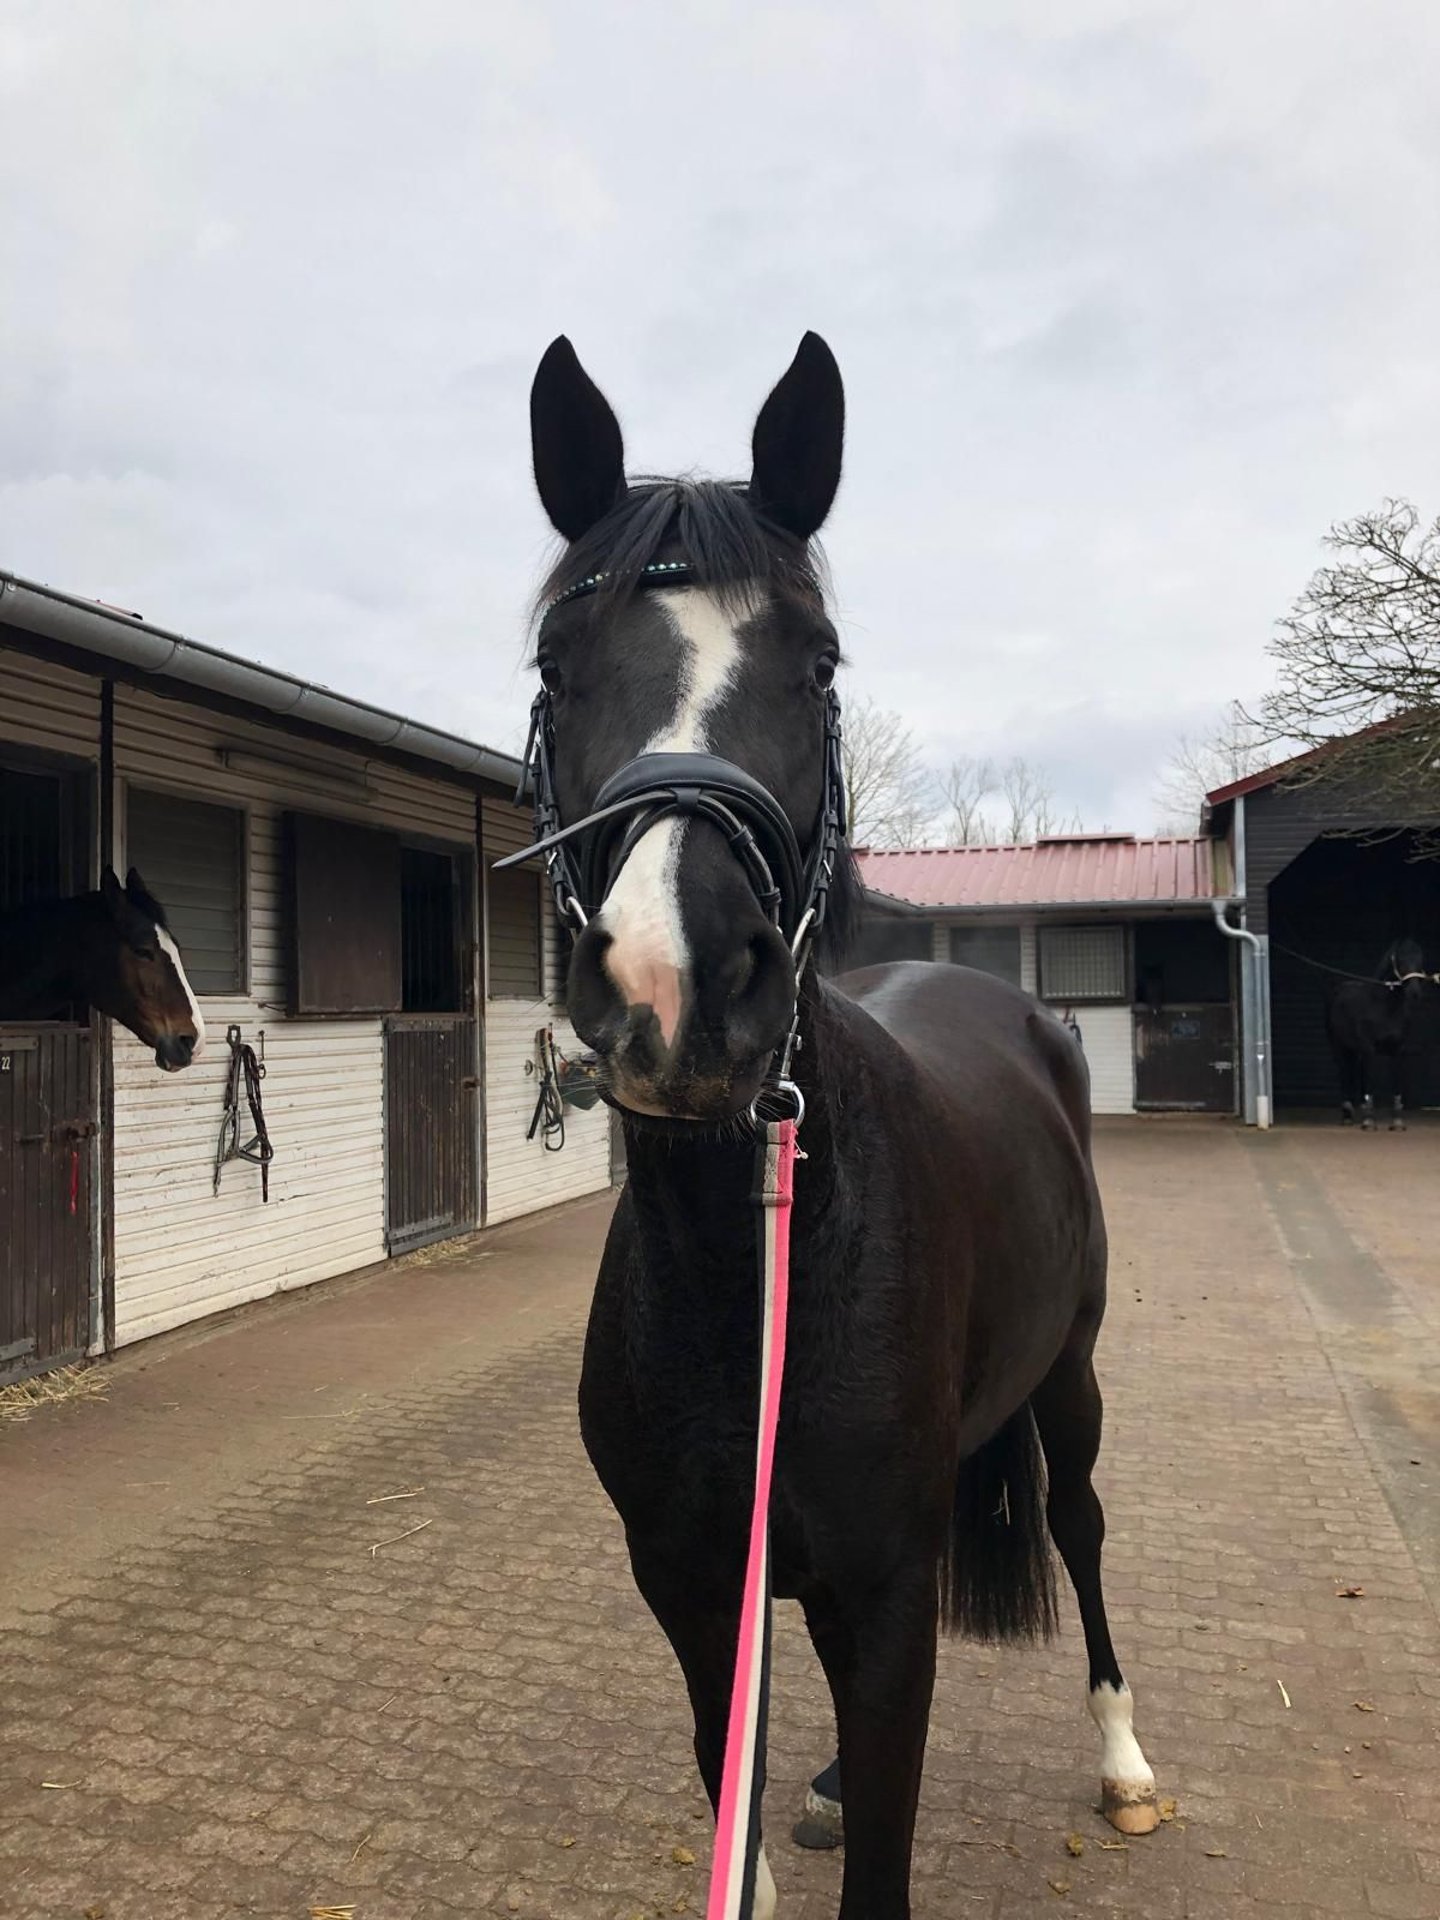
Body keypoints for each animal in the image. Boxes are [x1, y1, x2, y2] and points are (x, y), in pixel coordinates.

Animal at [519, 333, 1157, 1920]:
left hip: (1071, 1381)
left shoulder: (883, 1591)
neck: (757, 1267)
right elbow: (734, 1799)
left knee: (1083, 1528)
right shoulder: (699, 1595)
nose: (676, 983)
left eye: (816, 663)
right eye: (556, 663)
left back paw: (1126, 1762)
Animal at [1326, 937, 1434, 1130]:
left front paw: (1397, 1123)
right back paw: (1347, 1116)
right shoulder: (1369, 1050)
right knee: (1344, 1074)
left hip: (1355, 1051)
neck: (1384, 1007)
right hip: (1339, 1047)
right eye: (1401, 959)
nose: (1414, 992)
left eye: (1420, 958)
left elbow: (1396, 1083)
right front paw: (1369, 1122)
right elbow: (1371, 1082)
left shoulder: (1398, 1050)